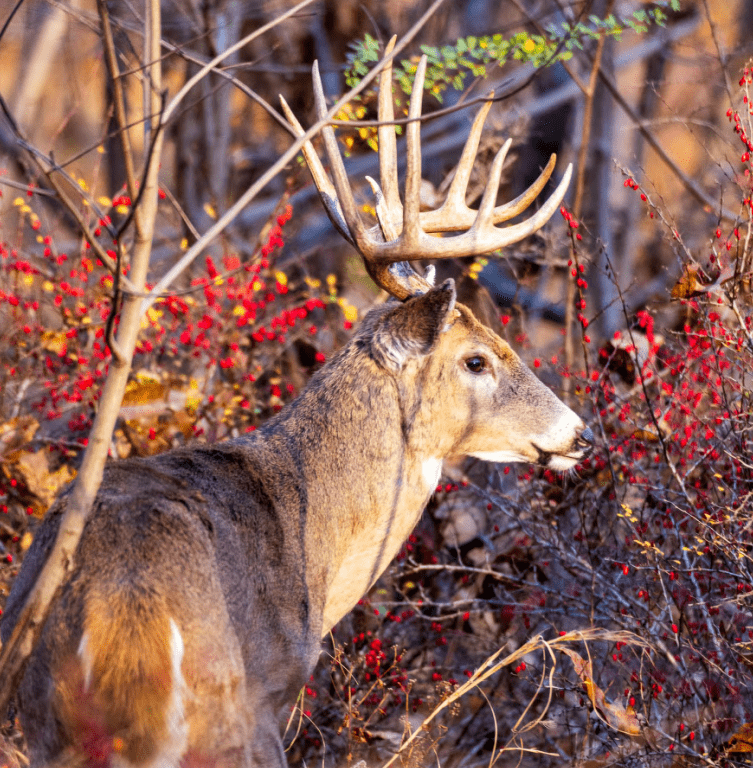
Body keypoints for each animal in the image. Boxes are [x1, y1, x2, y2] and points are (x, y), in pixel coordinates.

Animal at [1, 39, 593, 768]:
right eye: (477, 359)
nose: (578, 433)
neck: (315, 538)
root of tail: (122, 613)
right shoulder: (272, 692)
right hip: (221, 713)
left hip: (45, 716)